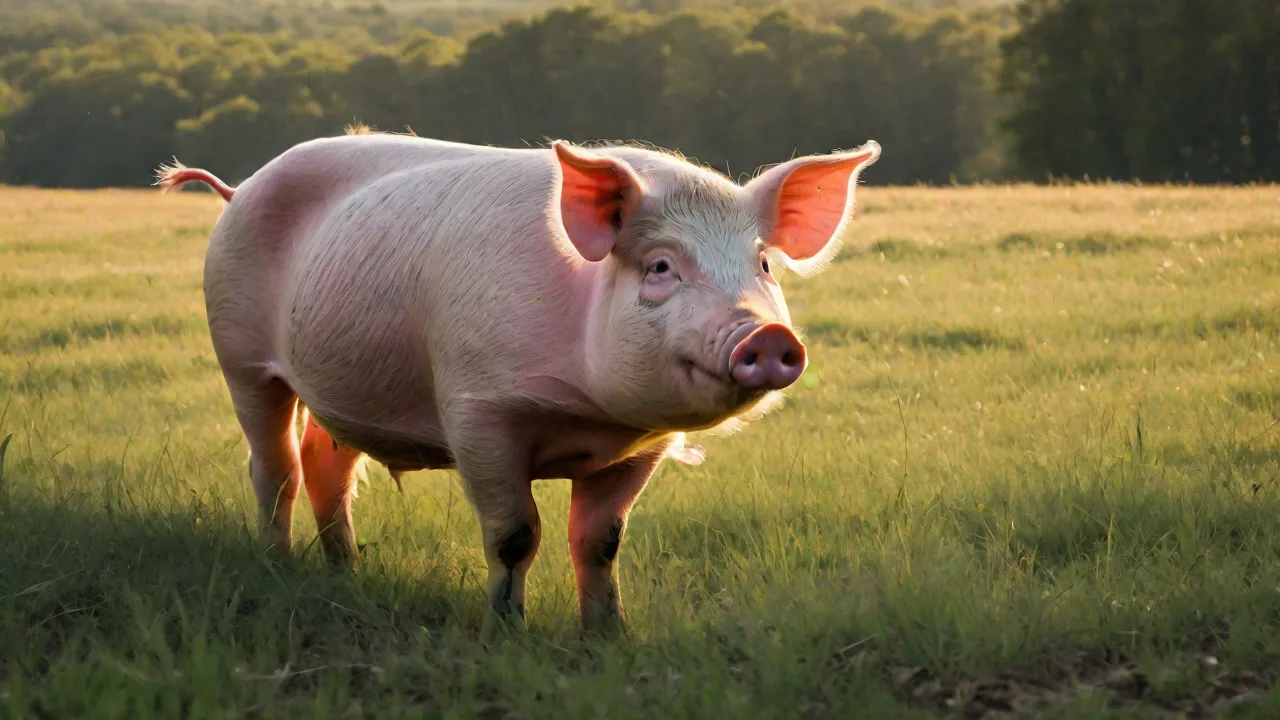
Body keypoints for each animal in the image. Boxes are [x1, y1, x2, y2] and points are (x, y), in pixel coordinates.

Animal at [155, 130, 880, 636]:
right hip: (240, 355)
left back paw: (346, 571)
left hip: (344, 388)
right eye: (661, 266)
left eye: (763, 265)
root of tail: (241, 188)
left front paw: (609, 636)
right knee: (273, 466)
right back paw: (278, 565)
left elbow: (601, 539)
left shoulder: (640, 445)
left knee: (325, 465)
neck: (589, 413)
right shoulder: (480, 410)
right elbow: (515, 534)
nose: (769, 336)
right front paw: (507, 634)